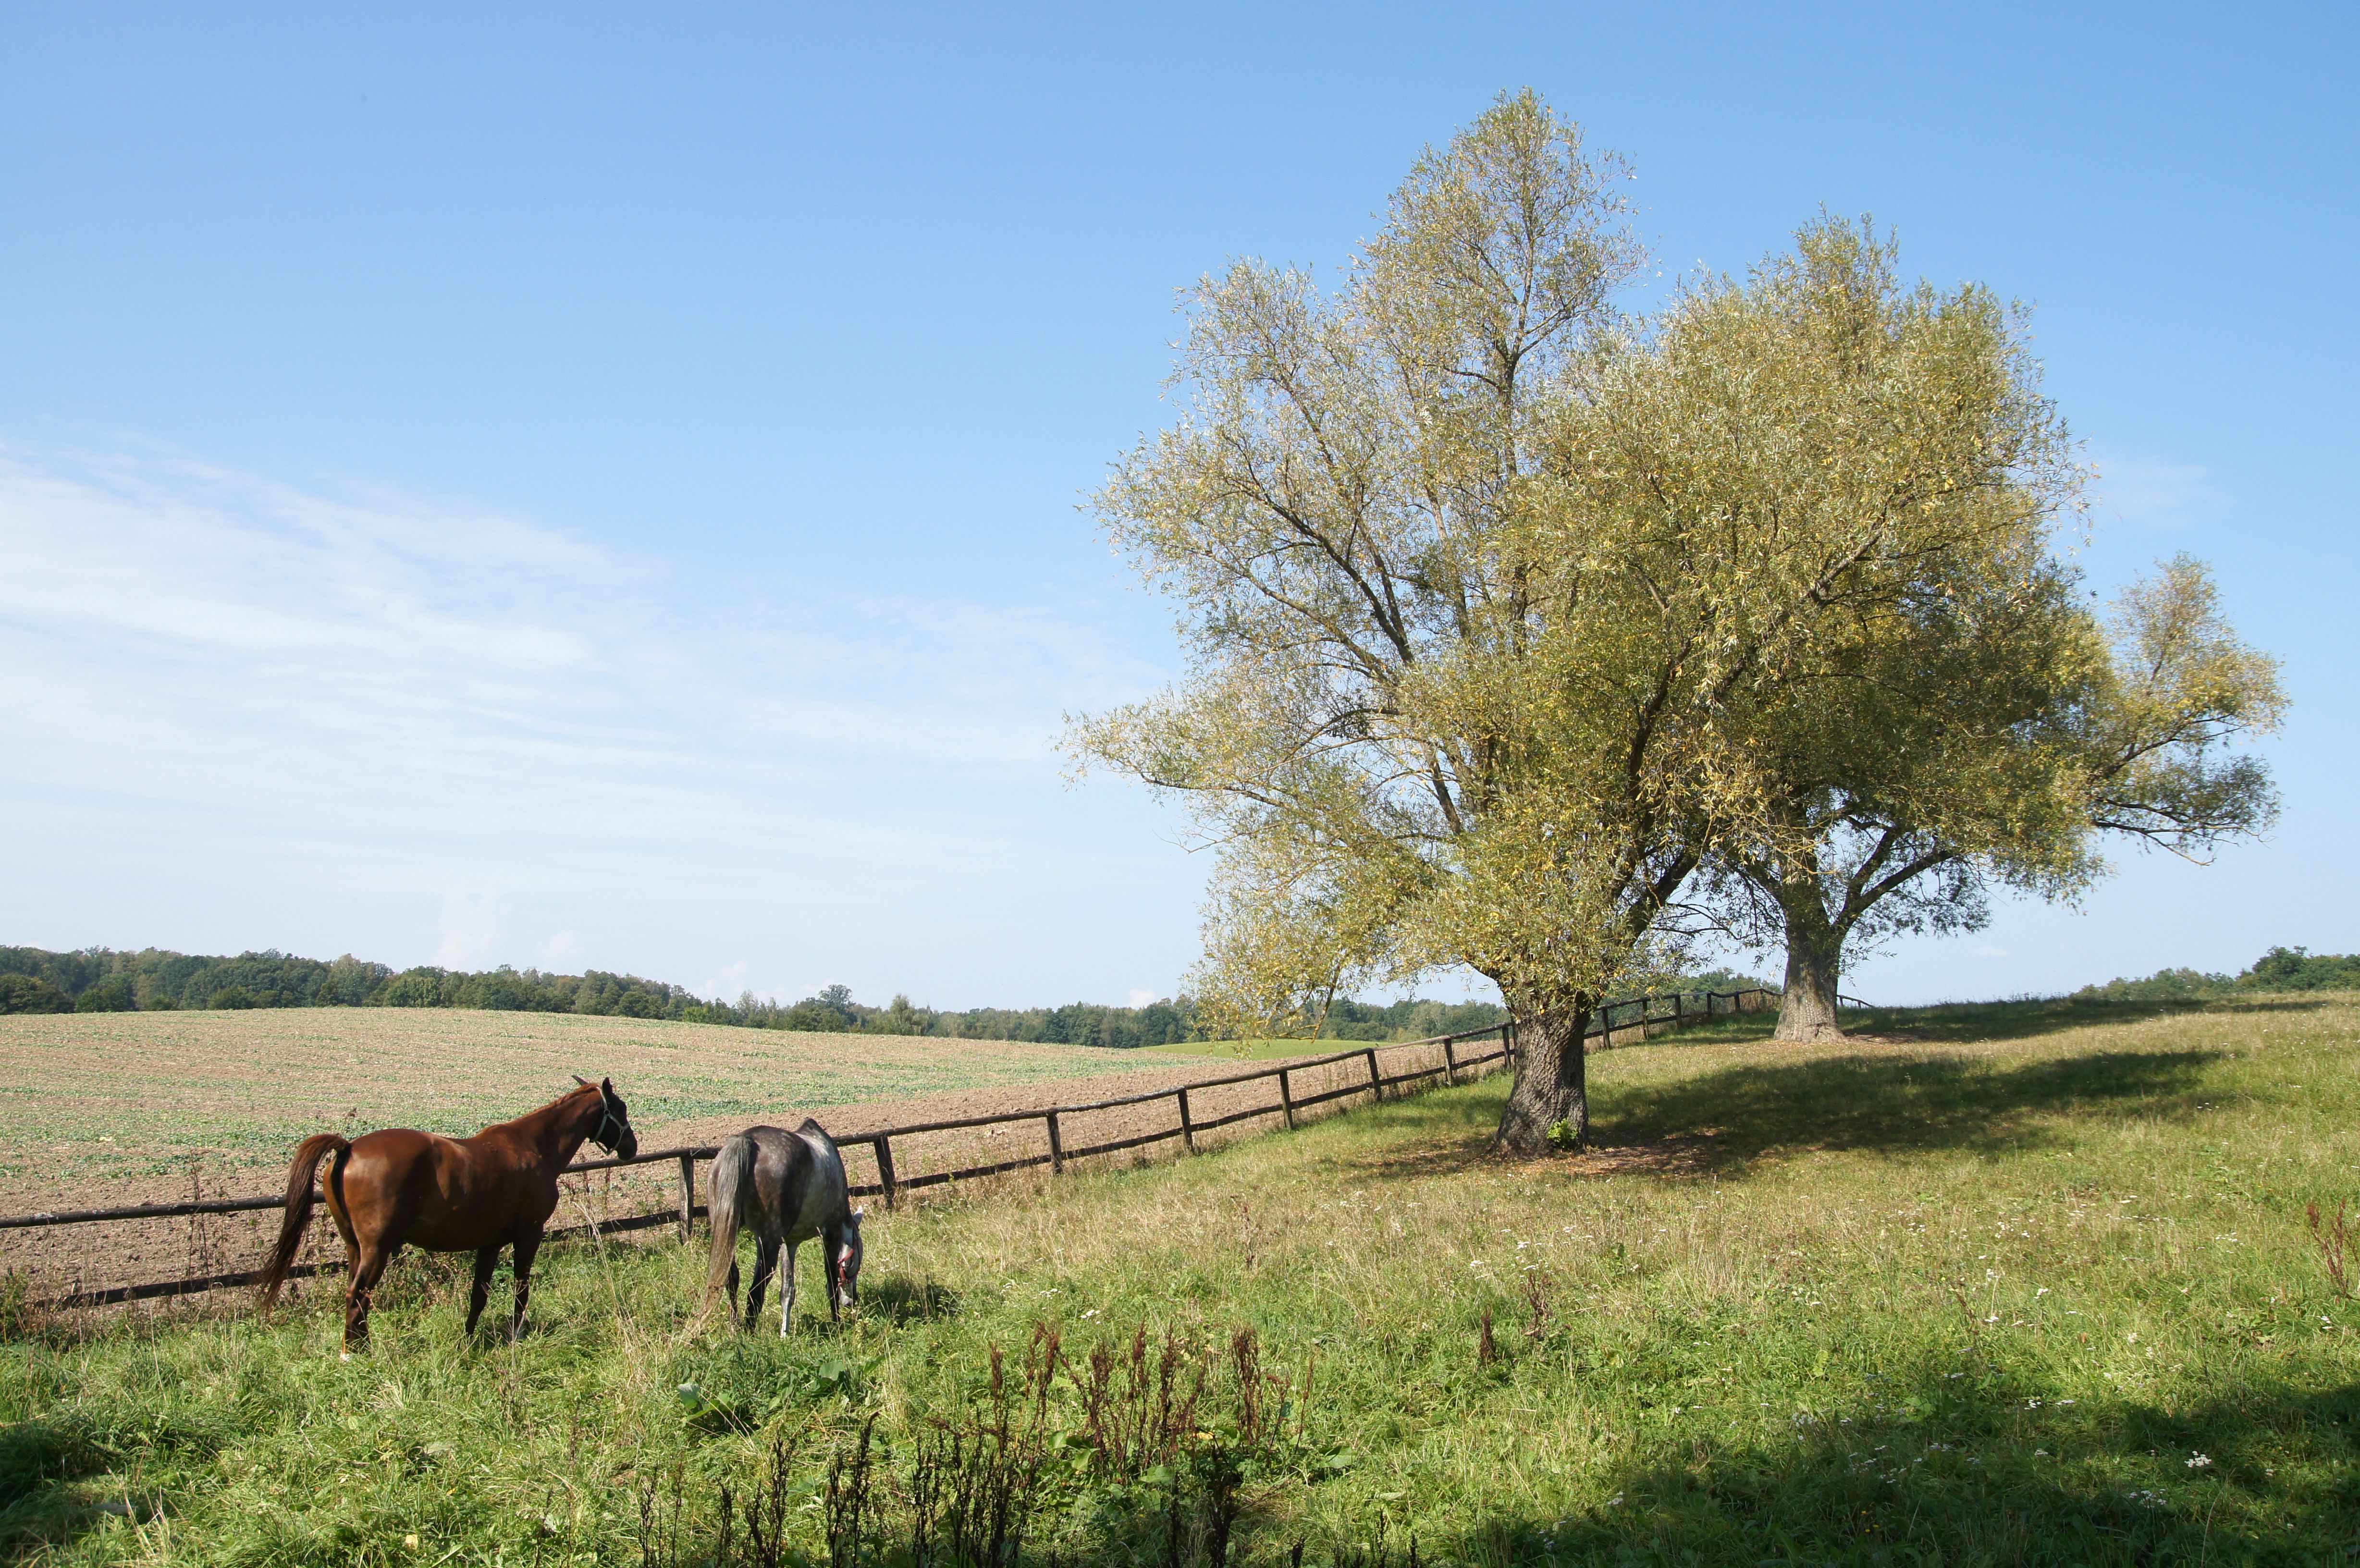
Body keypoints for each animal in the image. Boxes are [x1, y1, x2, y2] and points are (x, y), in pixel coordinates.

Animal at [257, 1076, 638, 1353]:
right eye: (620, 1108)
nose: (631, 1146)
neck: (533, 1148)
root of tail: (348, 1149)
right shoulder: (529, 1235)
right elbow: (521, 1289)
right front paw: (516, 1335)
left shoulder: (491, 1243)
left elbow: (479, 1294)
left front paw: (468, 1339)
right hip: (377, 1249)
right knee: (358, 1296)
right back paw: (356, 1354)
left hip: (355, 1247)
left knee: (357, 1295)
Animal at [698, 1119, 865, 1334]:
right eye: (858, 1256)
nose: (853, 1300)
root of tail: (747, 1141)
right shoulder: (830, 1233)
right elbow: (831, 1281)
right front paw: (837, 1325)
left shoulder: (789, 1243)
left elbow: (787, 1291)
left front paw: (785, 1334)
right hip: (769, 1243)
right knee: (756, 1290)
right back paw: (749, 1333)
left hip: (731, 1235)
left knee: (732, 1278)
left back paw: (736, 1326)